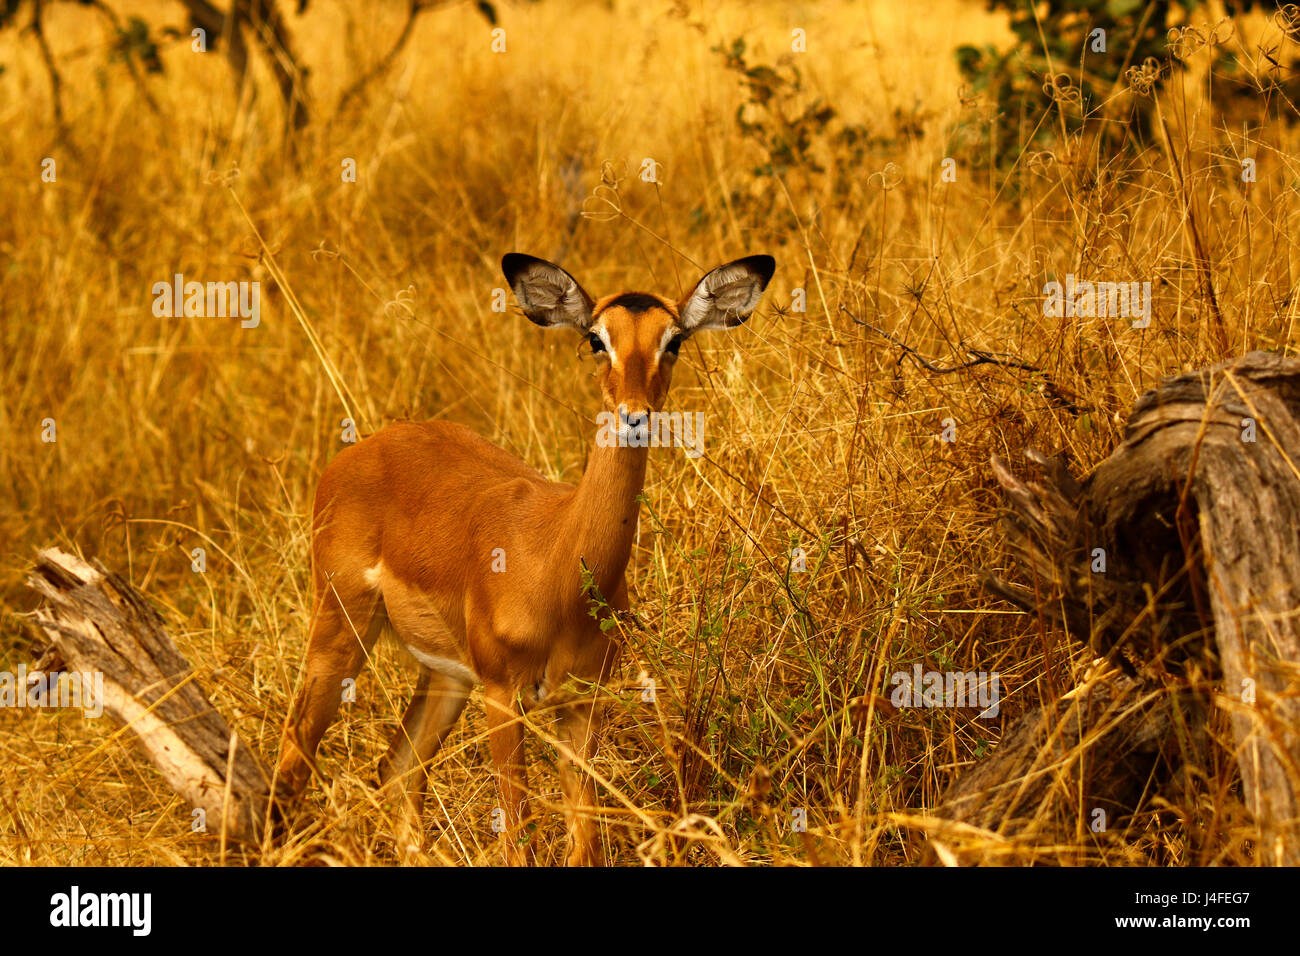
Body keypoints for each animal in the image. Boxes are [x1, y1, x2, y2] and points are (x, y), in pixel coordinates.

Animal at [277, 252, 776, 865]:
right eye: (595, 338)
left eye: (674, 339)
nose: (634, 415)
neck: (555, 563)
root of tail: (354, 454)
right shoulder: (503, 695)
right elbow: (517, 836)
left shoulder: (580, 702)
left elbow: (584, 842)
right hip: (341, 628)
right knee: (295, 752)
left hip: (444, 675)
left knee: (397, 766)